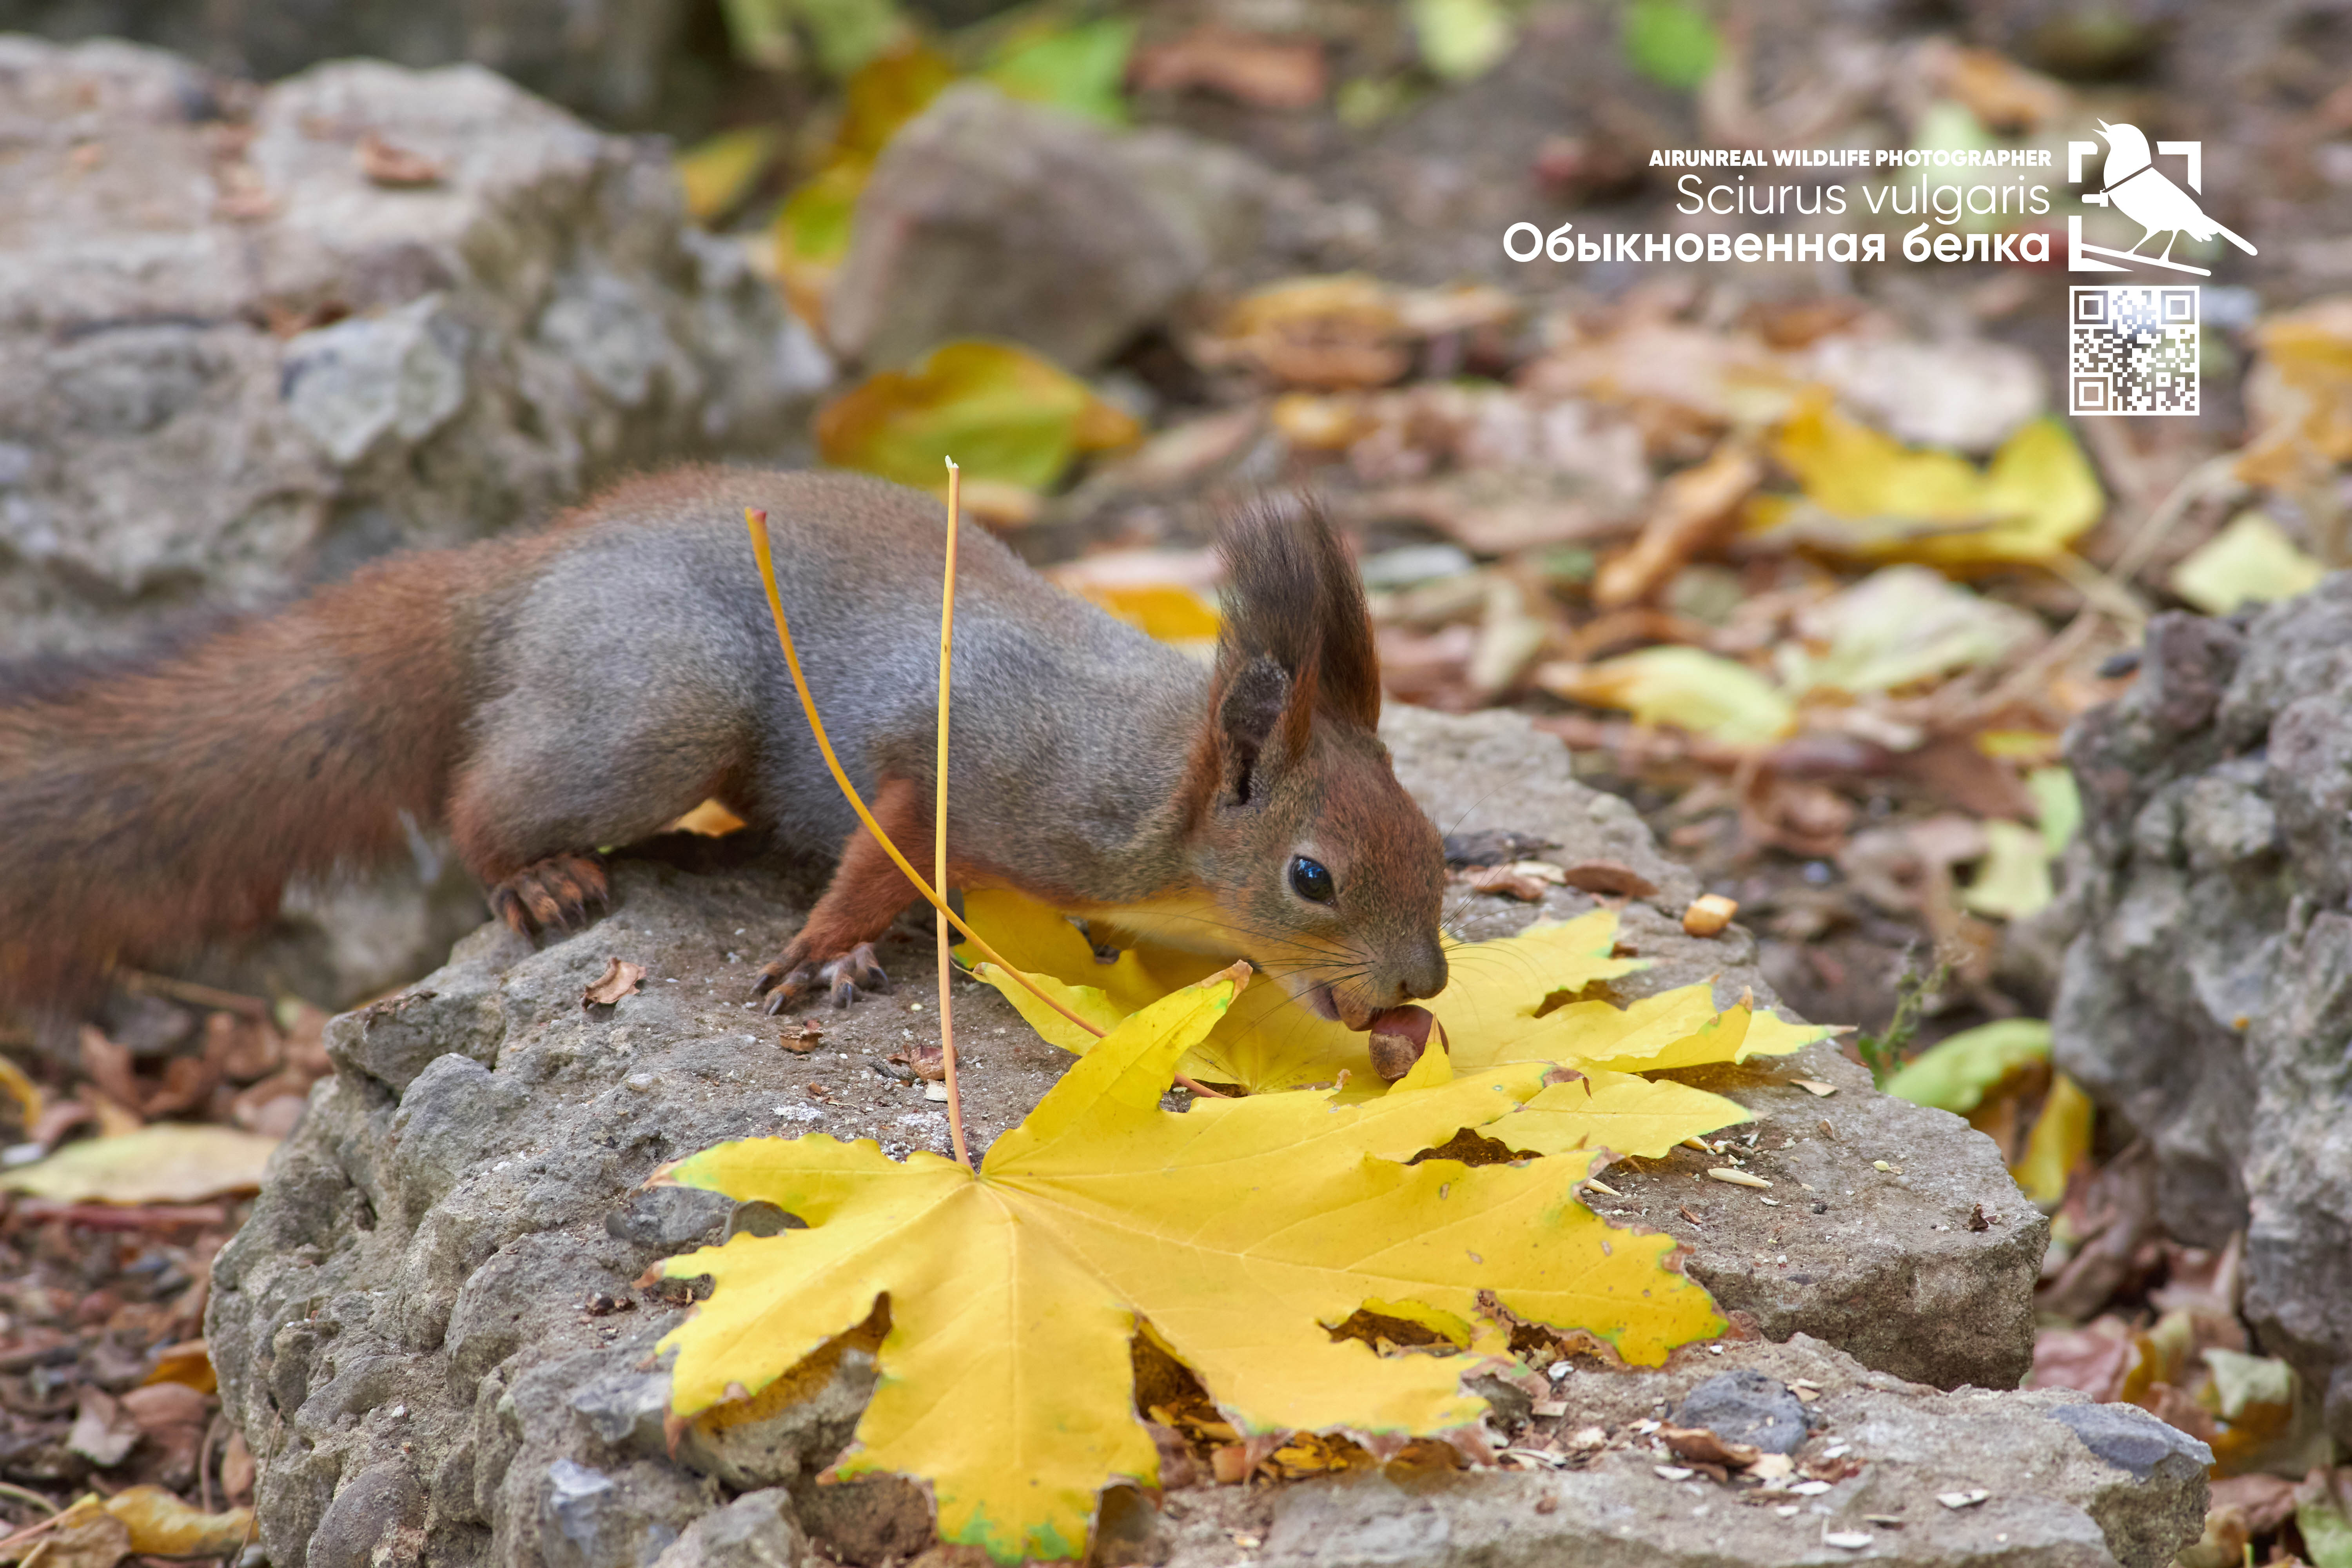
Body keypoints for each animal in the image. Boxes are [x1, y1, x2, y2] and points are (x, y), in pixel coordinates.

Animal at [0, 472, 1449, 1034]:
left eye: (1439, 845)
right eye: (1311, 877)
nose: (1422, 986)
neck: (1158, 782)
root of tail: (527, 575)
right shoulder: (981, 777)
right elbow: (886, 851)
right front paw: (827, 952)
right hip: (663, 704)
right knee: (484, 799)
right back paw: (538, 877)